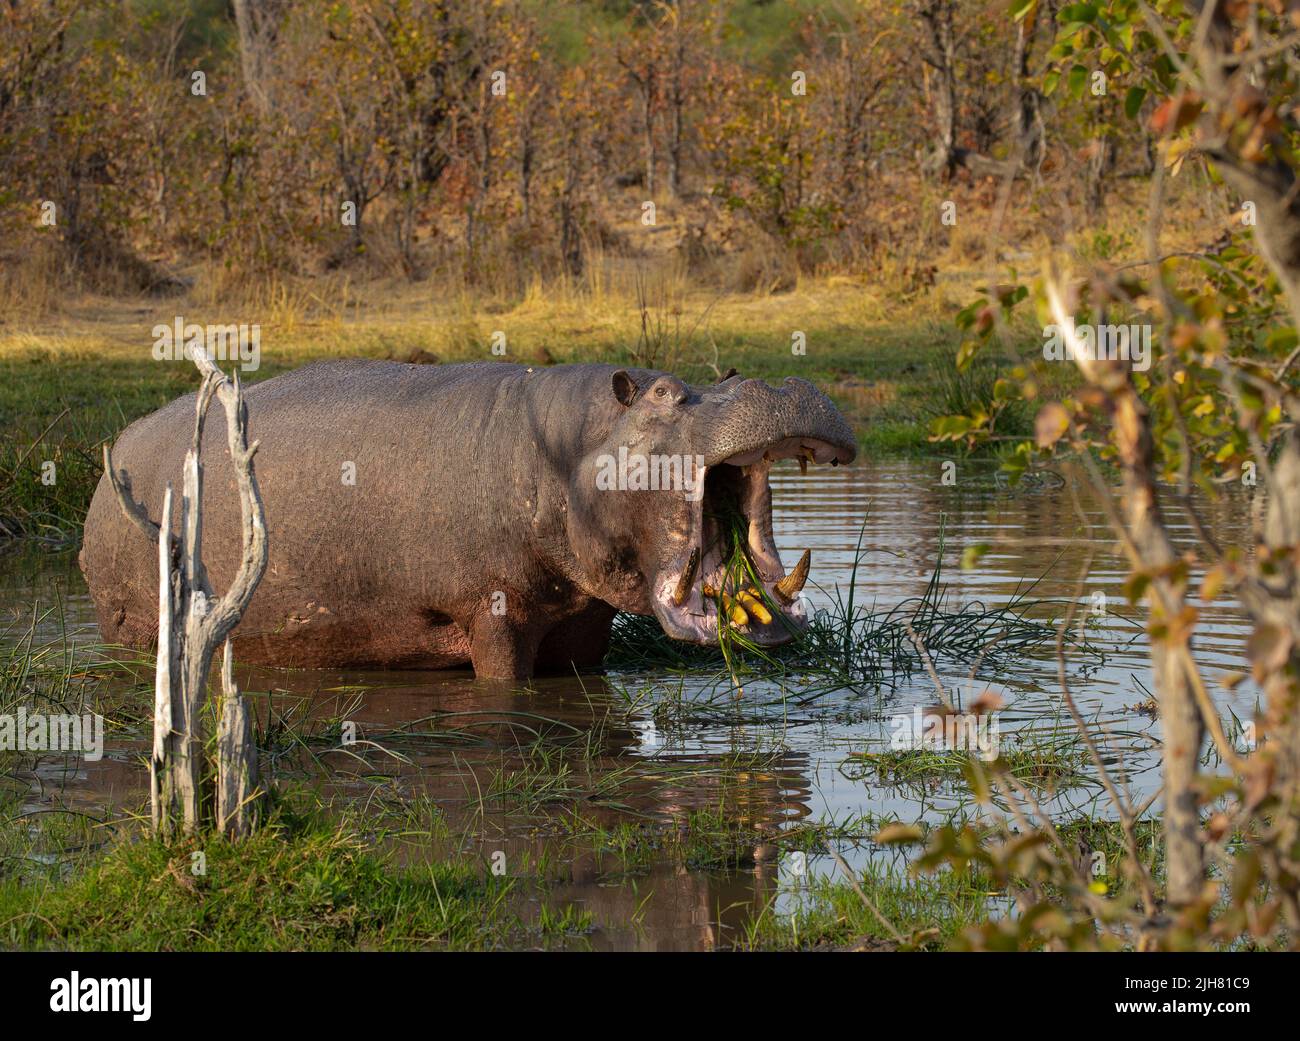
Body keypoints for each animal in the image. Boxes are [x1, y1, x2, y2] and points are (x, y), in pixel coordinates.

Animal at [80, 360, 856, 679]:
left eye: (726, 374)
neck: (574, 444)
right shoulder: (492, 612)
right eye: (665, 394)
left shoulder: (583, 623)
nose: (769, 382)